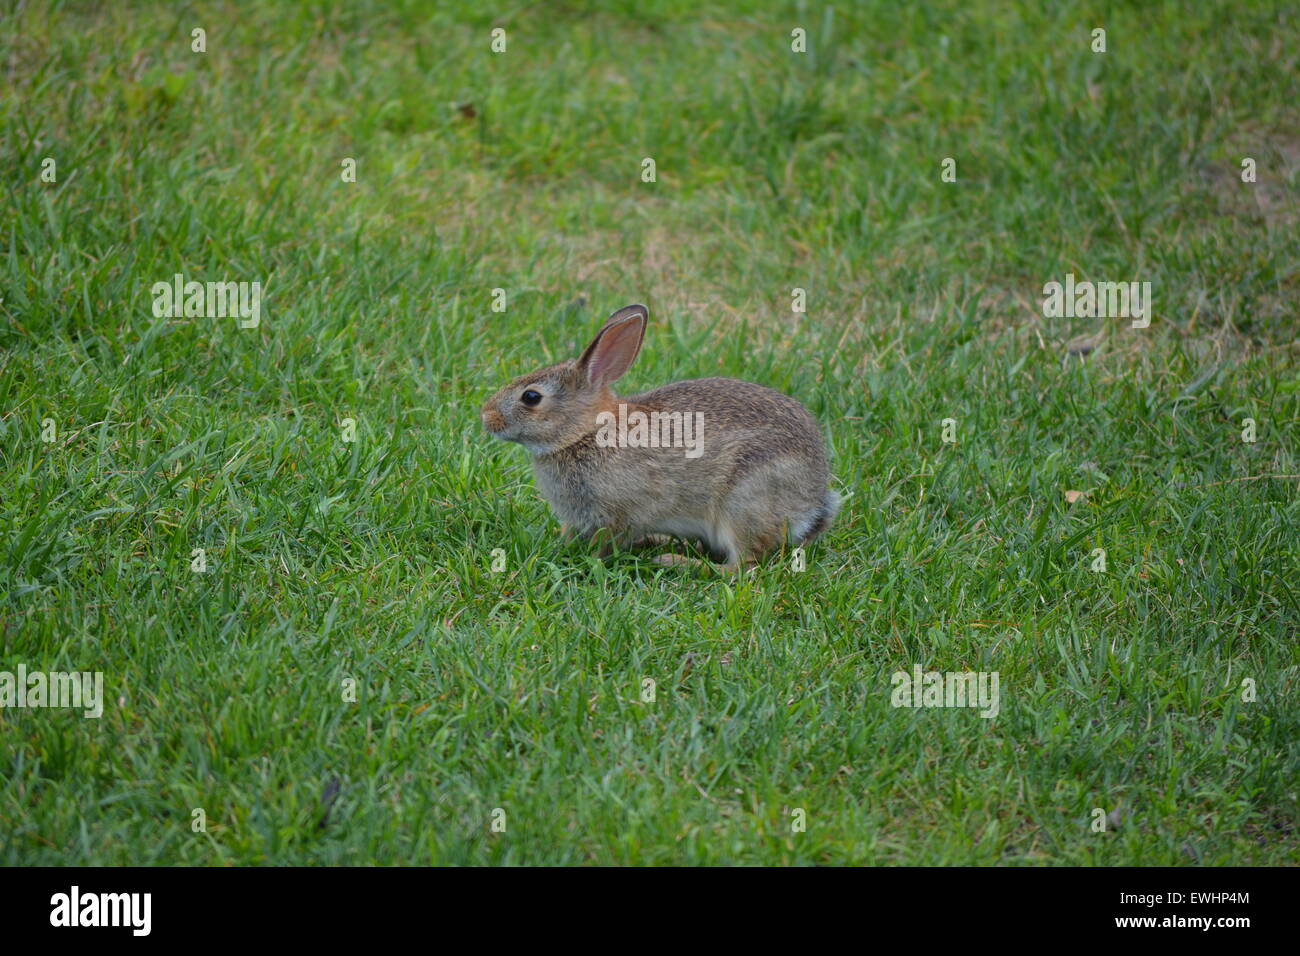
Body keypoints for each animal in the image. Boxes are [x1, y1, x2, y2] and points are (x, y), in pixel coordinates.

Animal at [480, 303, 840, 568]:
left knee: (742, 567)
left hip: (744, 503)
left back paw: (675, 561)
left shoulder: (617, 513)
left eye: (531, 397)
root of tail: (812, 504)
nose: (486, 417)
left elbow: (605, 543)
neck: (586, 432)